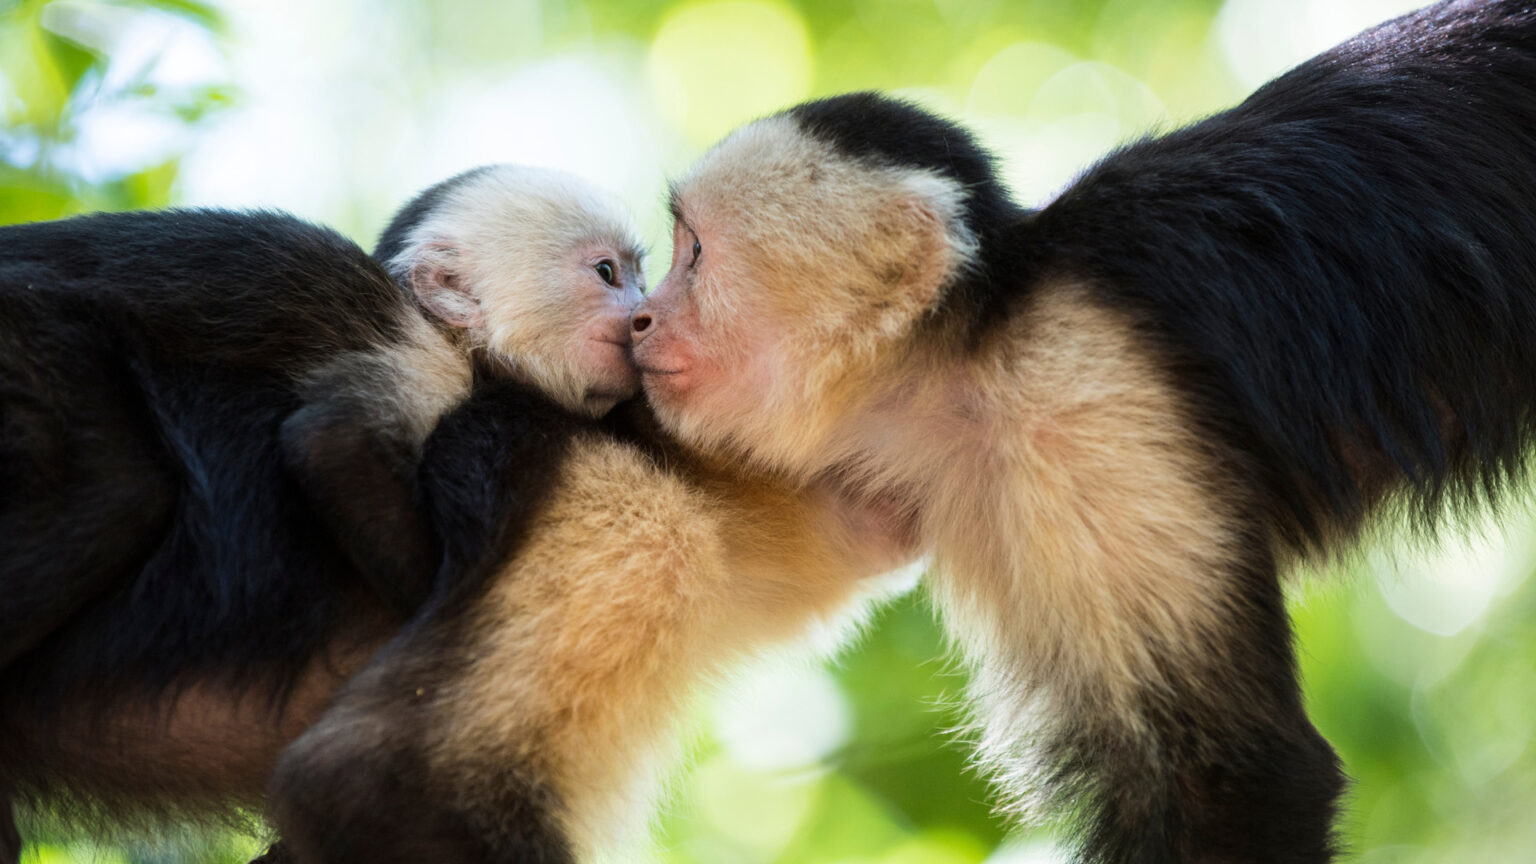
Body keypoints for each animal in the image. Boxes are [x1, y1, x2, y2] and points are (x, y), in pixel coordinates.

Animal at [0, 164, 645, 861]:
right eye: (608, 272)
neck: (451, 338)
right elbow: (331, 443)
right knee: (118, 485)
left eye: (640, 274)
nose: (644, 312)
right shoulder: (422, 359)